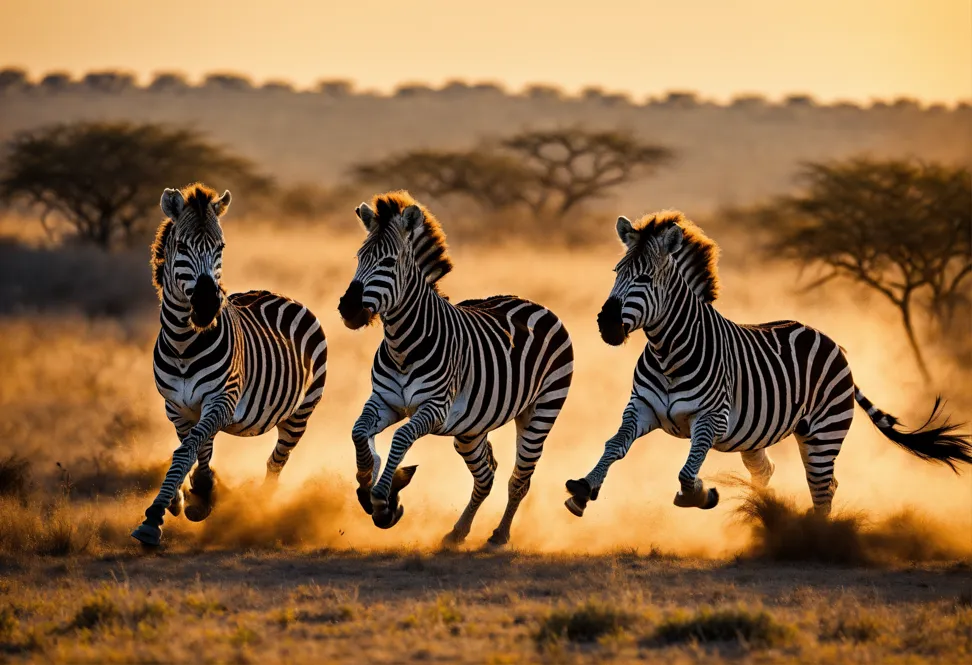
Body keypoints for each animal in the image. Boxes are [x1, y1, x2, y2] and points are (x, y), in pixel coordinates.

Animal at [131, 183, 328, 547]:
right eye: (182, 246)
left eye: (220, 247)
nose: (207, 305)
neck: (183, 343)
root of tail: (276, 293)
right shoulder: (177, 407)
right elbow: (193, 450)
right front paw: (195, 494)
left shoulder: (221, 399)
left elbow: (185, 453)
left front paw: (154, 518)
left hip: (300, 413)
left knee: (276, 461)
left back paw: (263, 509)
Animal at [337, 191, 573, 547]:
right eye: (358, 258)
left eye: (389, 262)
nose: (349, 309)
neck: (402, 345)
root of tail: (534, 303)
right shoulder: (385, 401)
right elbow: (358, 431)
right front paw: (367, 481)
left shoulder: (435, 407)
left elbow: (401, 437)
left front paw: (381, 497)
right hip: (471, 429)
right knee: (486, 474)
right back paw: (458, 532)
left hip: (541, 411)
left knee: (520, 478)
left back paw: (499, 535)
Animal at [564, 211, 971, 517]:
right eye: (617, 273)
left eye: (645, 278)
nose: (607, 324)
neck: (668, 353)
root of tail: (831, 341)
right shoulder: (641, 408)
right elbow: (614, 445)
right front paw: (583, 488)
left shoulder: (711, 419)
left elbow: (686, 472)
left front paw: (701, 494)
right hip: (757, 435)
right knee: (777, 473)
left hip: (824, 433)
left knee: (823, 487)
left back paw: (816, 541)